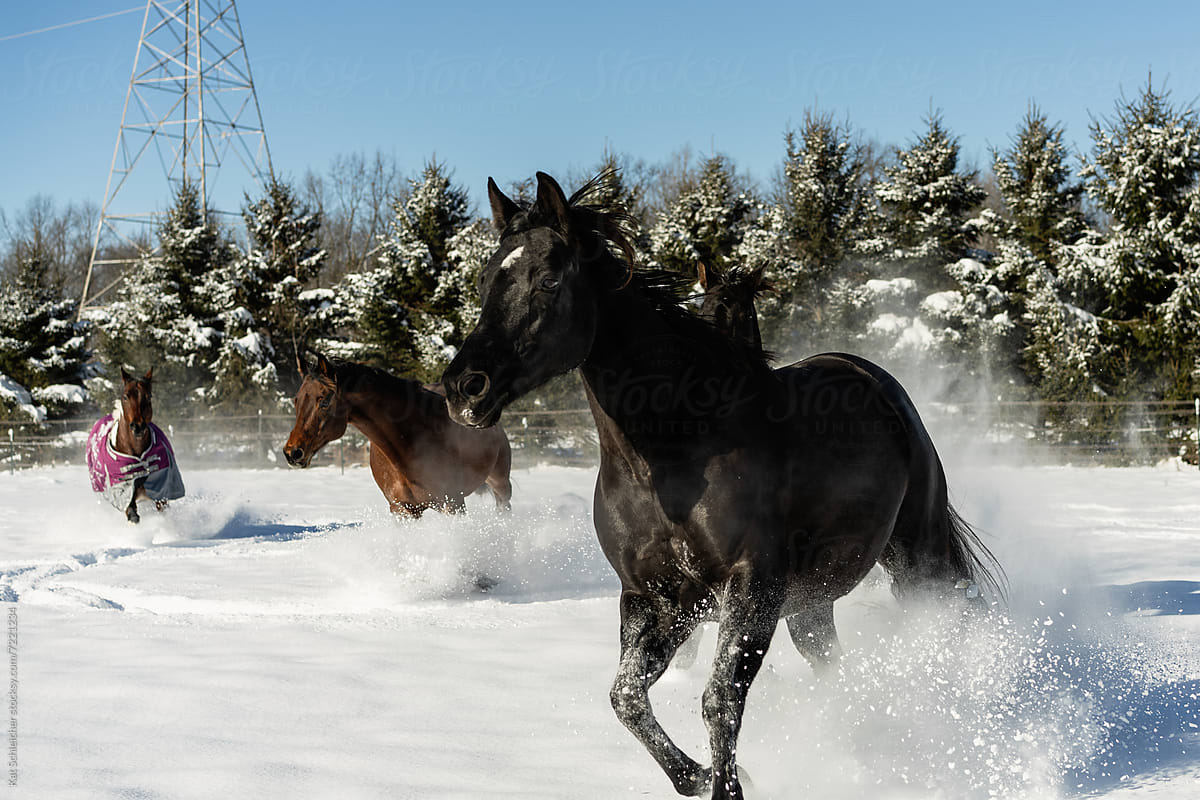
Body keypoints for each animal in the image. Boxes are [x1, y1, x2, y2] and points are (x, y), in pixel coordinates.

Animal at [85, 368, 185, 523]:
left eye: (149, 396)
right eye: (125, 396)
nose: (138, 426)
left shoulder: (162, 489)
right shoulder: (123, 491)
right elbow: (132, 513)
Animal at [284, 354, 512, 517]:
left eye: (323, 402)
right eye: (296, 400)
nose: (292, 452)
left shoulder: (453, 504)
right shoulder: (402, 509)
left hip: (500, 486)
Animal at [441, 171, 1003, 799]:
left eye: (548, 279)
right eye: (485, 278)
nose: (463, 387)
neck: (671, 453)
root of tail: (874, 378)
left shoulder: (751, 587)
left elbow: (719, 702)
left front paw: (727, 785)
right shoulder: (654, 600)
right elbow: (625, 697)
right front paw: (700, 775)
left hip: (916, 556)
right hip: (812, 601)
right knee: (829, 661)